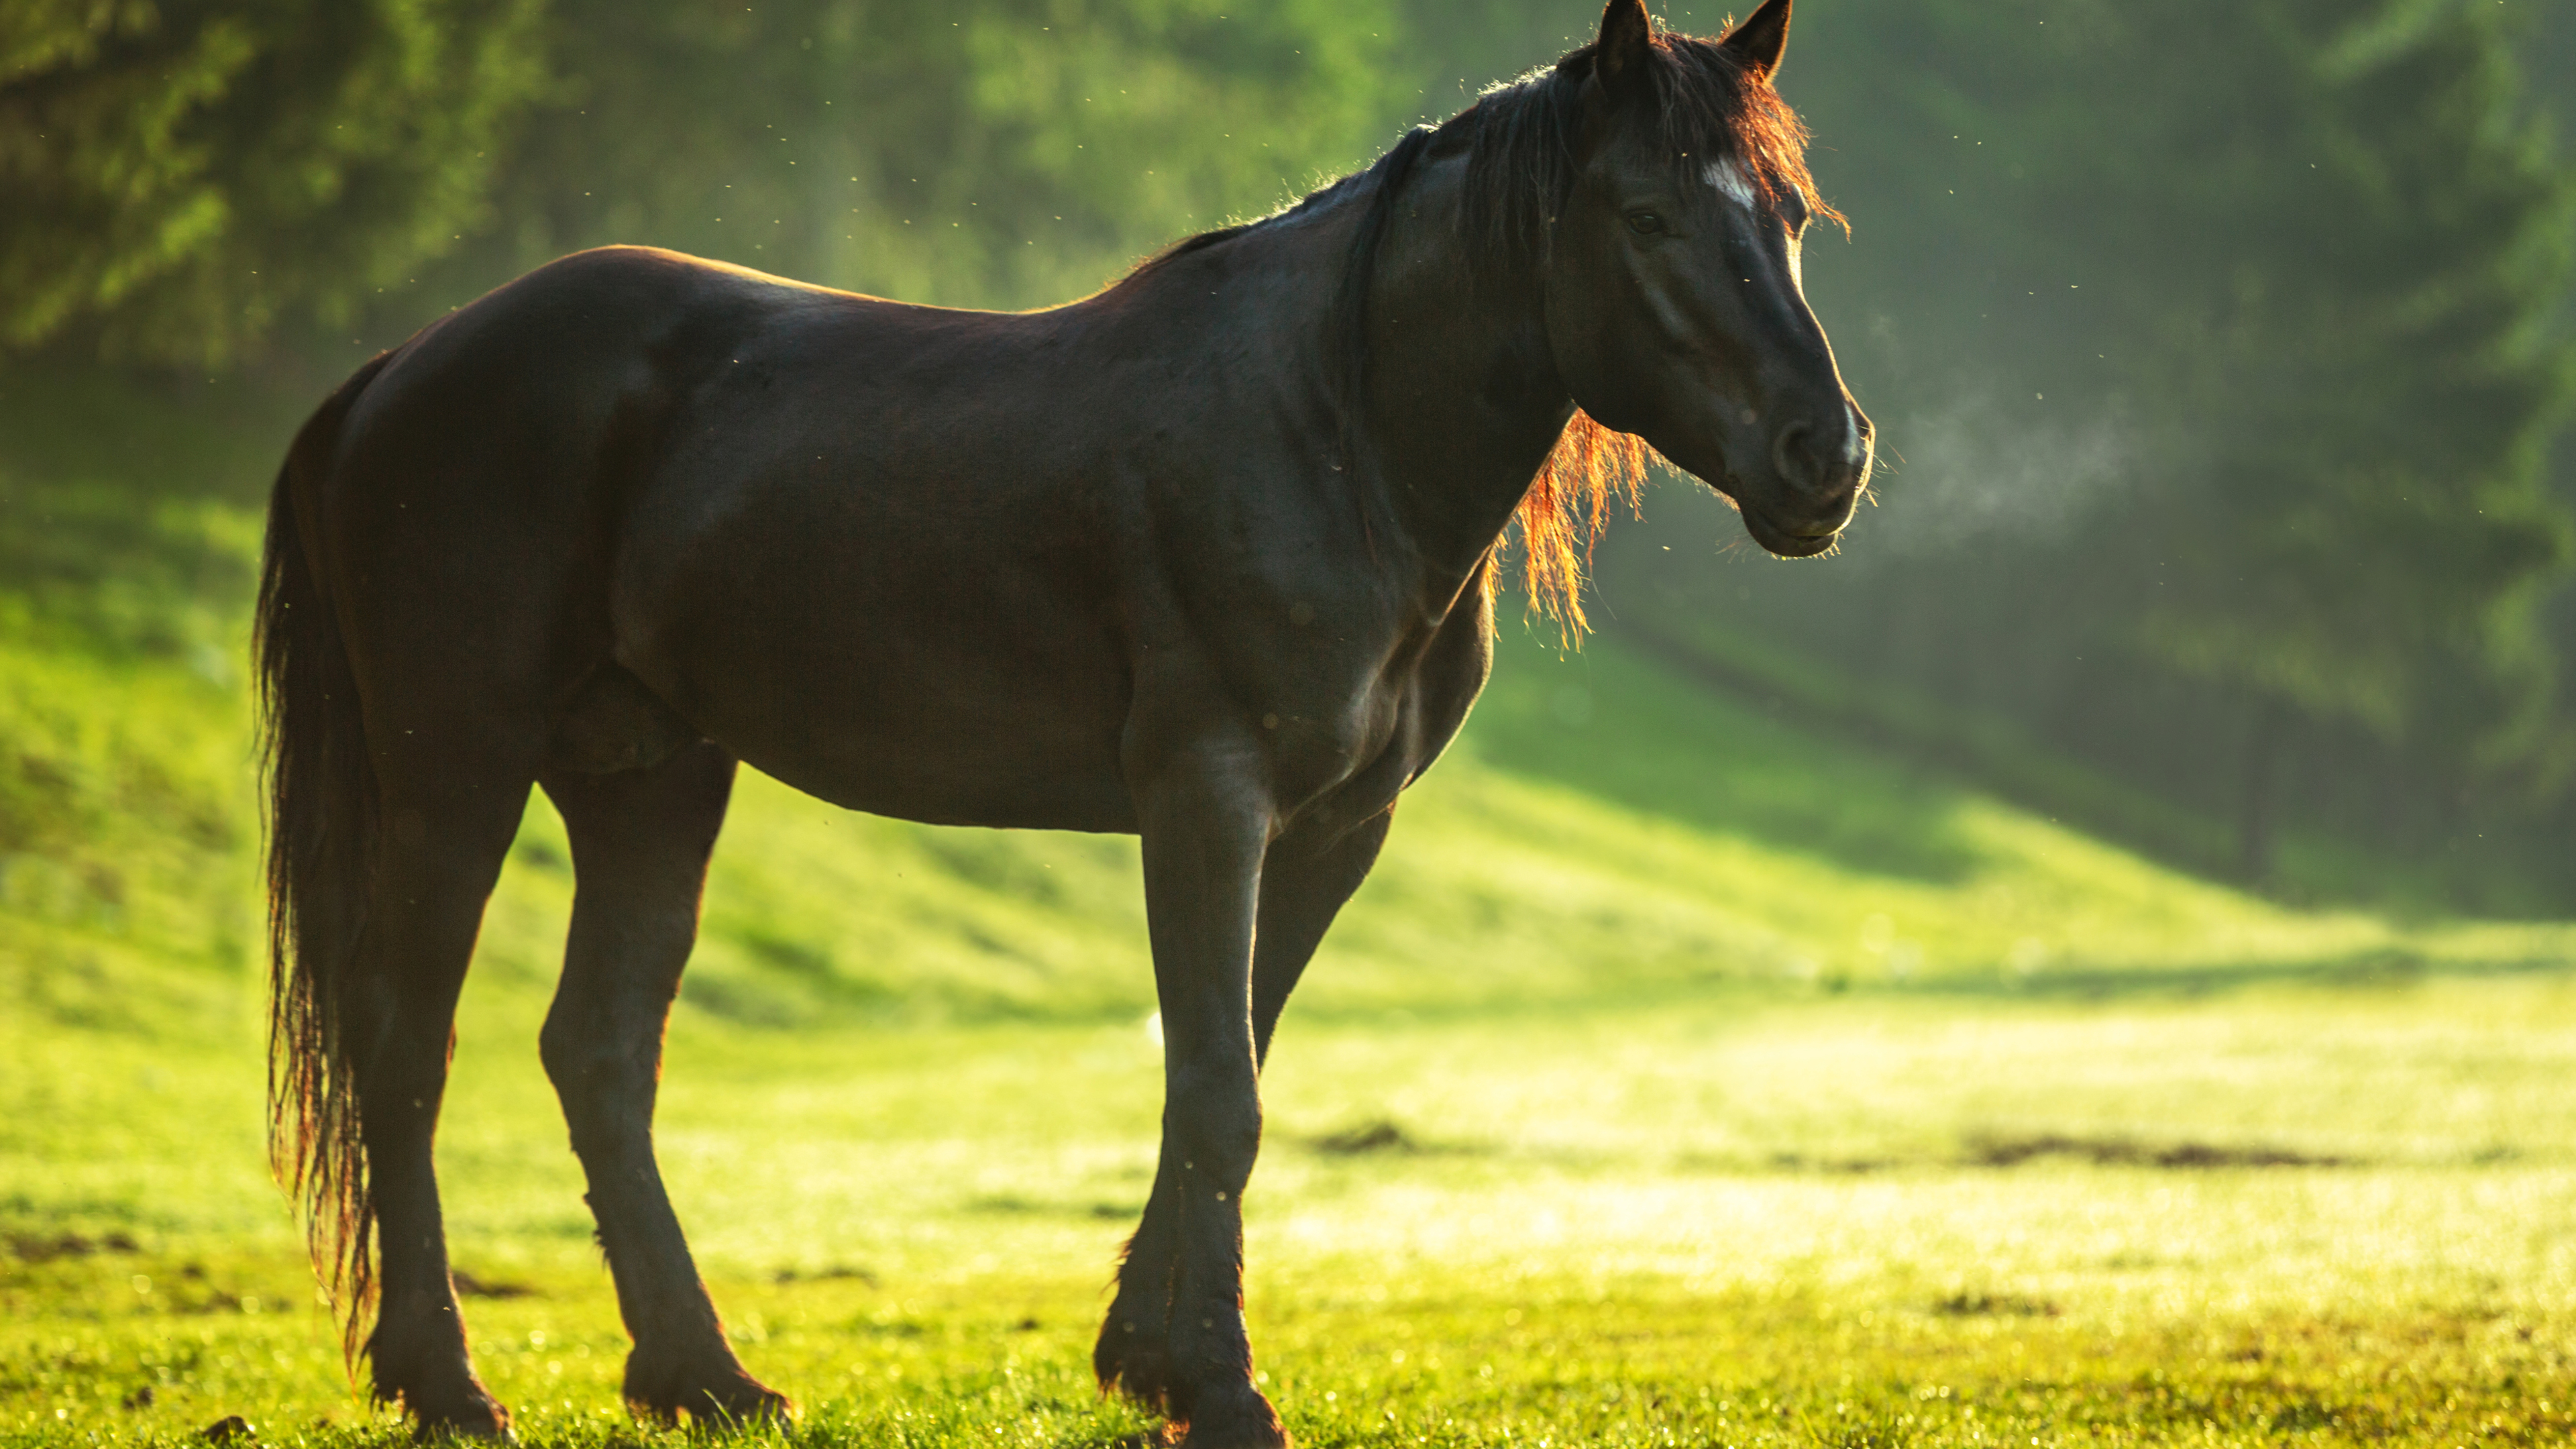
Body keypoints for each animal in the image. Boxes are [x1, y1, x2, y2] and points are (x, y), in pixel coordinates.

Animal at [254, 0, 1870, 1441]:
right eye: (1649, 218)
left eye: (1791, 217)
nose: (1828, 455)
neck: (1328, 433)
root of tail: (399, 370)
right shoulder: (1205, 800)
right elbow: (1217, 1089)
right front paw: (1218, 1387)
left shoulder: (1331, 832)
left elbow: (1230, 1071)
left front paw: (1148, 1358)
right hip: (457, 772)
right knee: (407, 1044)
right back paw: (447, 1386)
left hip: (649, 778)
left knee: (599, 1053)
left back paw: (703, 1380)